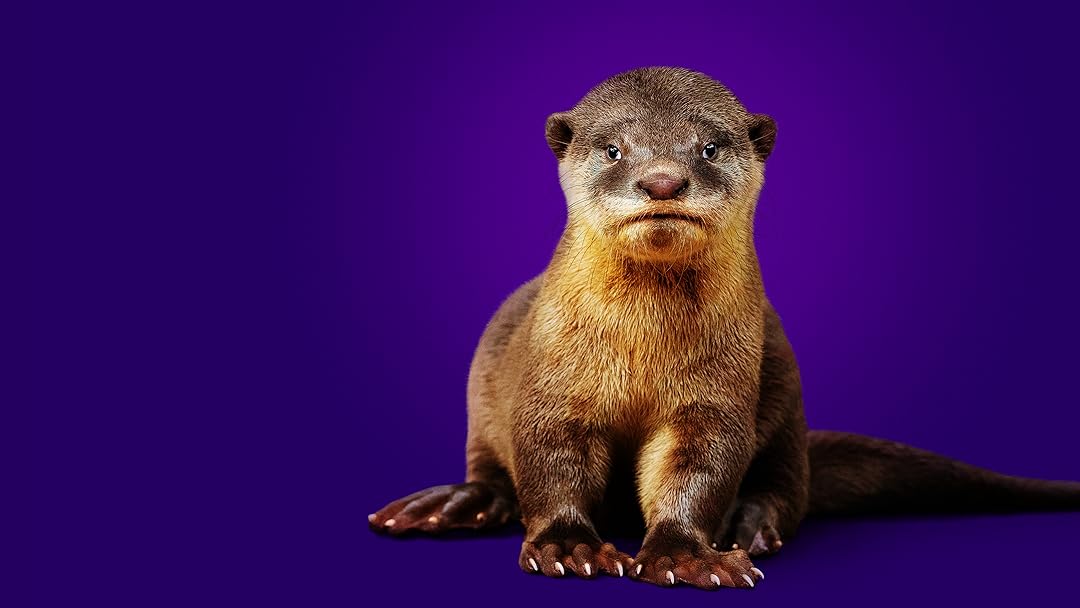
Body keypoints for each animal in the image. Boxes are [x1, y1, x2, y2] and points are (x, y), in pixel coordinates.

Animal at [368, 67, 1080, 590]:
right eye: (612, 149)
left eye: (709, 147)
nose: (662, 181)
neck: (641, 348)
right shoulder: (552, 386)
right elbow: (551, 458)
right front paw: (569, 546)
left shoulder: (716, 396)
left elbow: (698, 467)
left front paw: (686, 553)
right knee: (493, 468)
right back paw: (454, 502)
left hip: (786, 397)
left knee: (786, 486)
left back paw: (749, 522)